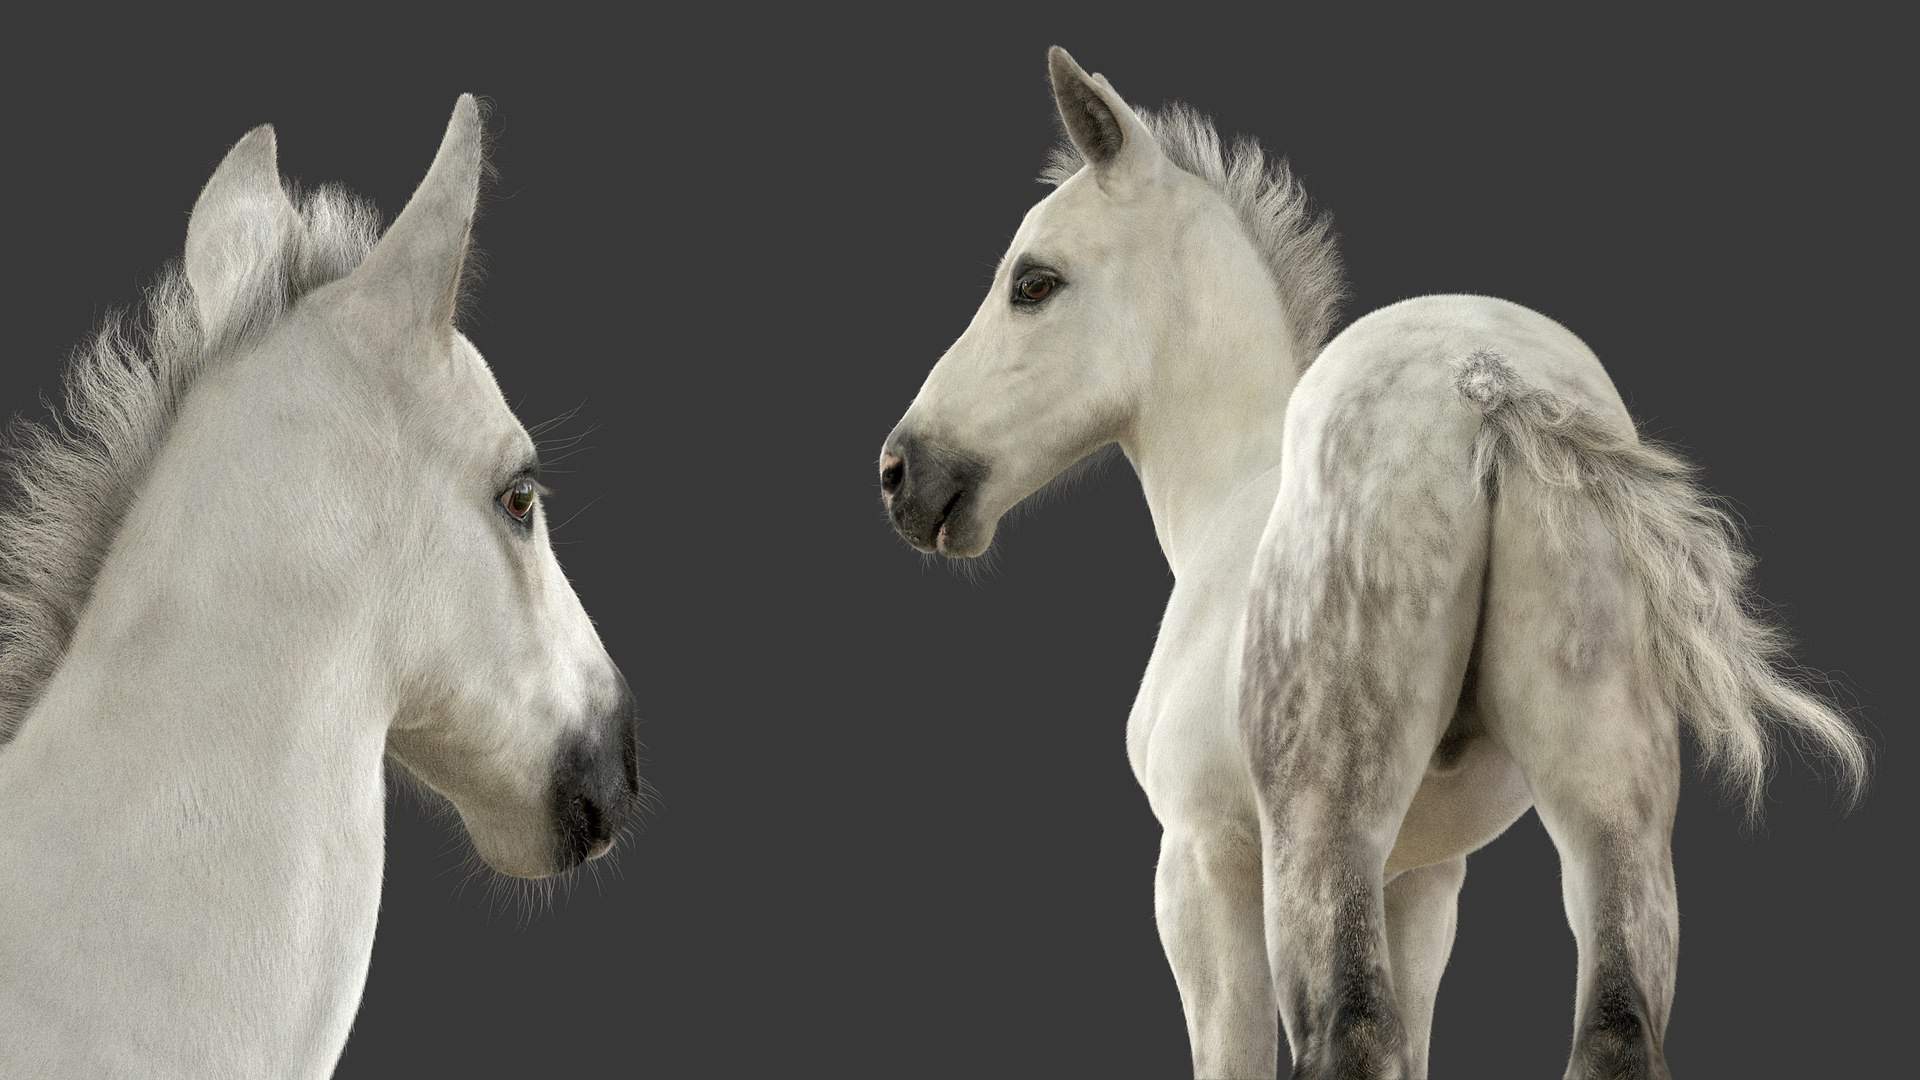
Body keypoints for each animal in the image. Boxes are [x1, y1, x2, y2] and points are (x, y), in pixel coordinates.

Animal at [877, 48, 1869, 1080]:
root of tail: (1486, 386)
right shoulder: (1422, 881)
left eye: (1033, 282)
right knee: (1615, 1028)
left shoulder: (1202, 862)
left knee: (1347, 1031)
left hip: (1323, 832)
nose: (904, 472)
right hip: (1612, 817)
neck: (1232, 497)